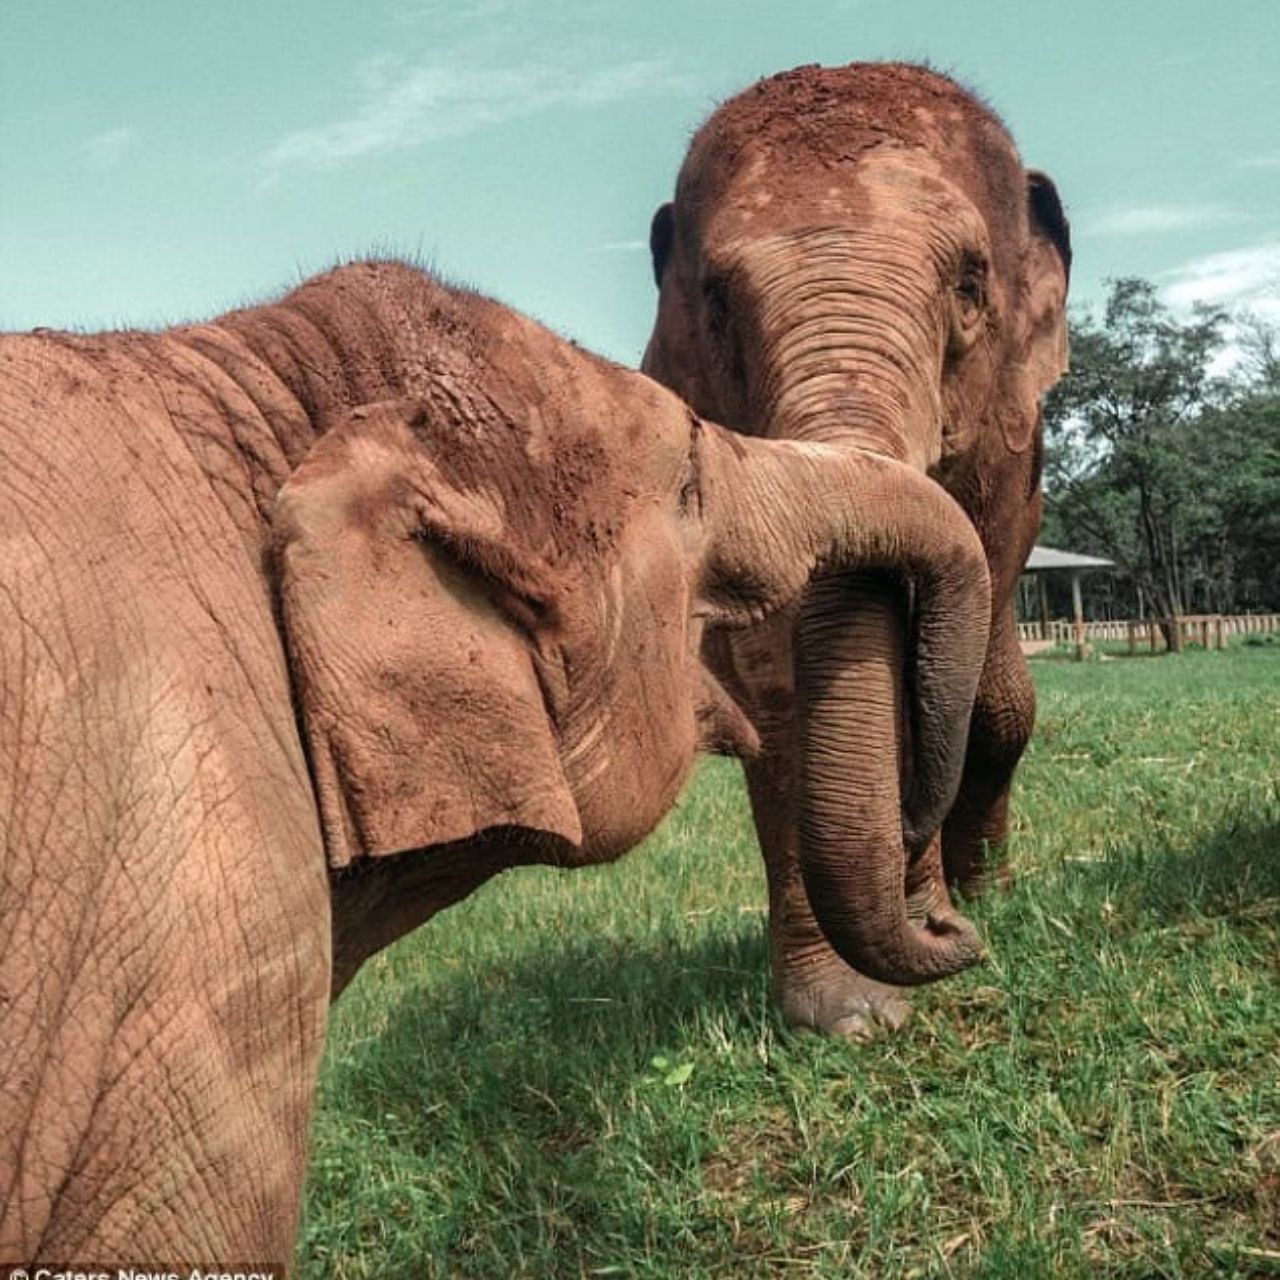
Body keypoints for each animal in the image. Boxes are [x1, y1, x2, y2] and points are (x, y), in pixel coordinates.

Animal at [642, 62, 1072, 1036]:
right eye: (717, 302)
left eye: (969, 285)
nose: (949, 932)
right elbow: (770, 681)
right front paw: (849, 1013)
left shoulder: (1002, 455)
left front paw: (928, 924)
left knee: (1000, 704)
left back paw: (988, 892)